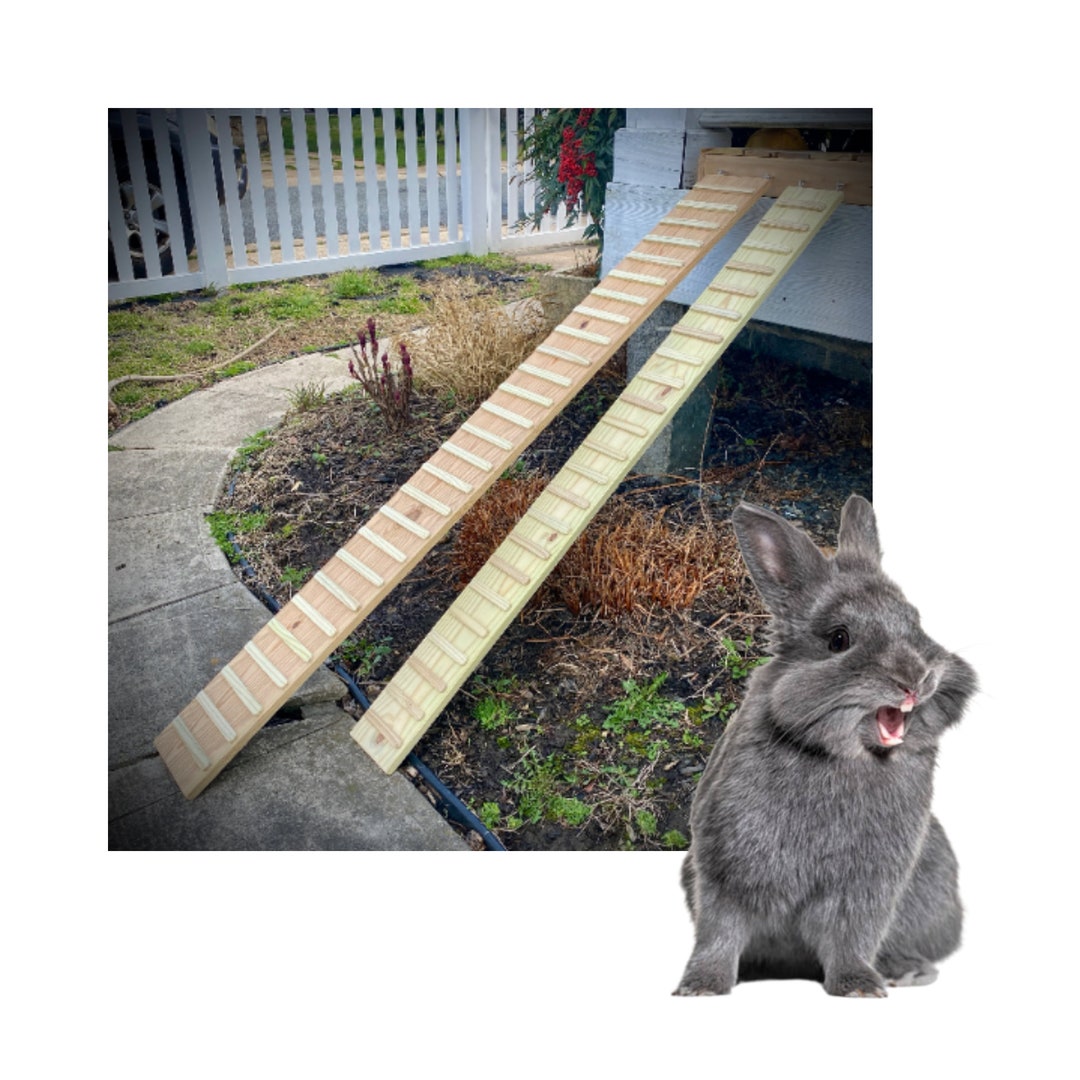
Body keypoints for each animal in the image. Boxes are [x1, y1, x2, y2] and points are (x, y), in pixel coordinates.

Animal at [674, 495, 977, 998]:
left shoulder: (868, 886)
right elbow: (720, 932)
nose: (915, 680)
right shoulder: (727, 868)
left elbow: (852, 936)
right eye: (839, 639)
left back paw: (906, 971)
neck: (844, 757)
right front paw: (700, 988)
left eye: (914, 622)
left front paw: (859, 987)